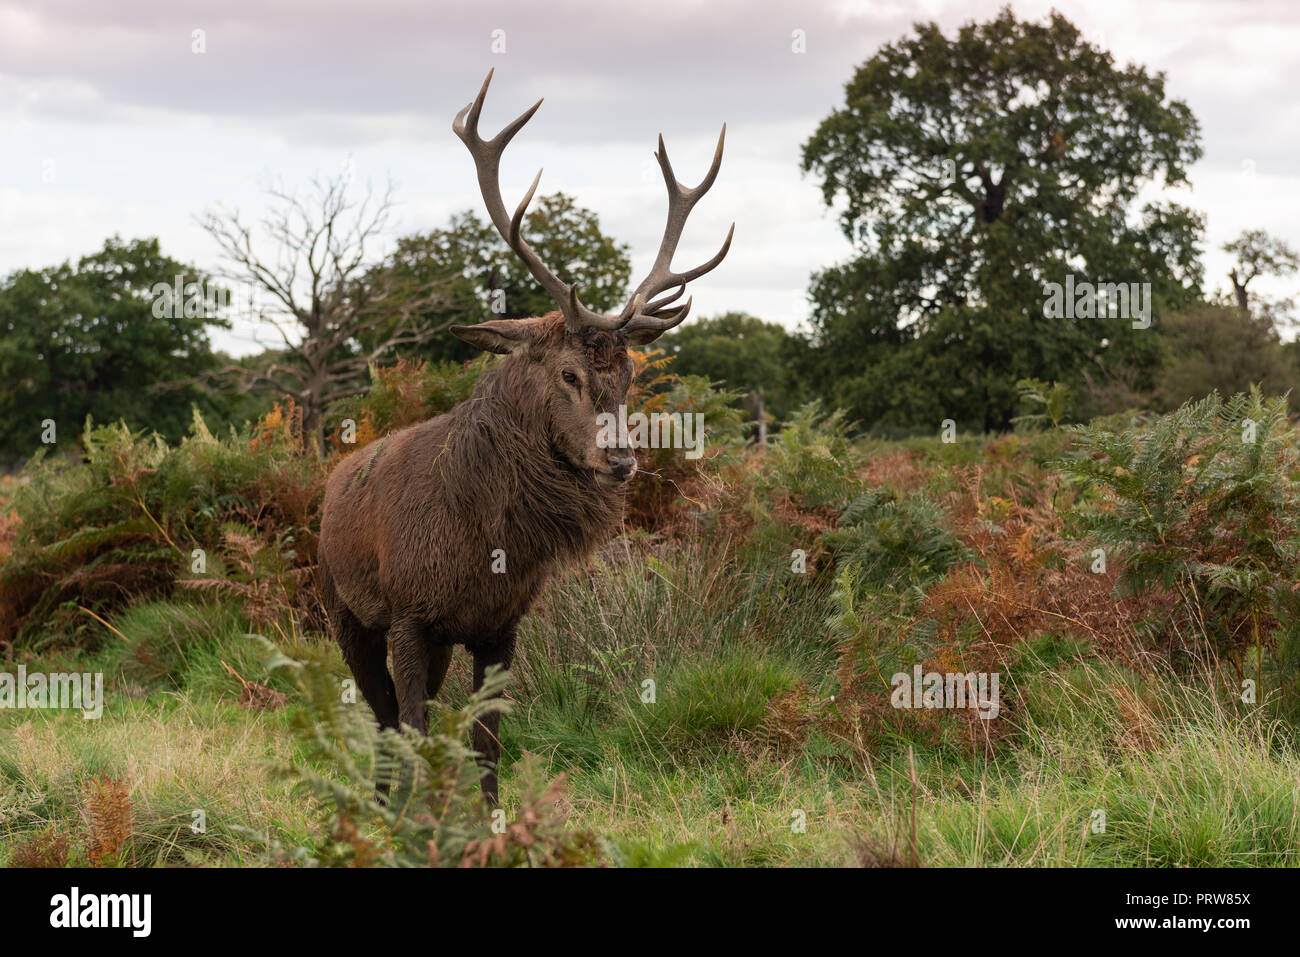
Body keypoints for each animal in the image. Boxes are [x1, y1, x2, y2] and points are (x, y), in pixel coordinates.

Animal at [316, 70, 733, 804]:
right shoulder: (407, 613)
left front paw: (489, 818)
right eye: (568, 372)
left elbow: (488, 744)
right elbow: (418, 728)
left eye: (630, 372)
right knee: (383, 717)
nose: (621, 459)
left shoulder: (499, 627)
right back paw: (382, 802)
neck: (486, 542)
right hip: (344, 610)